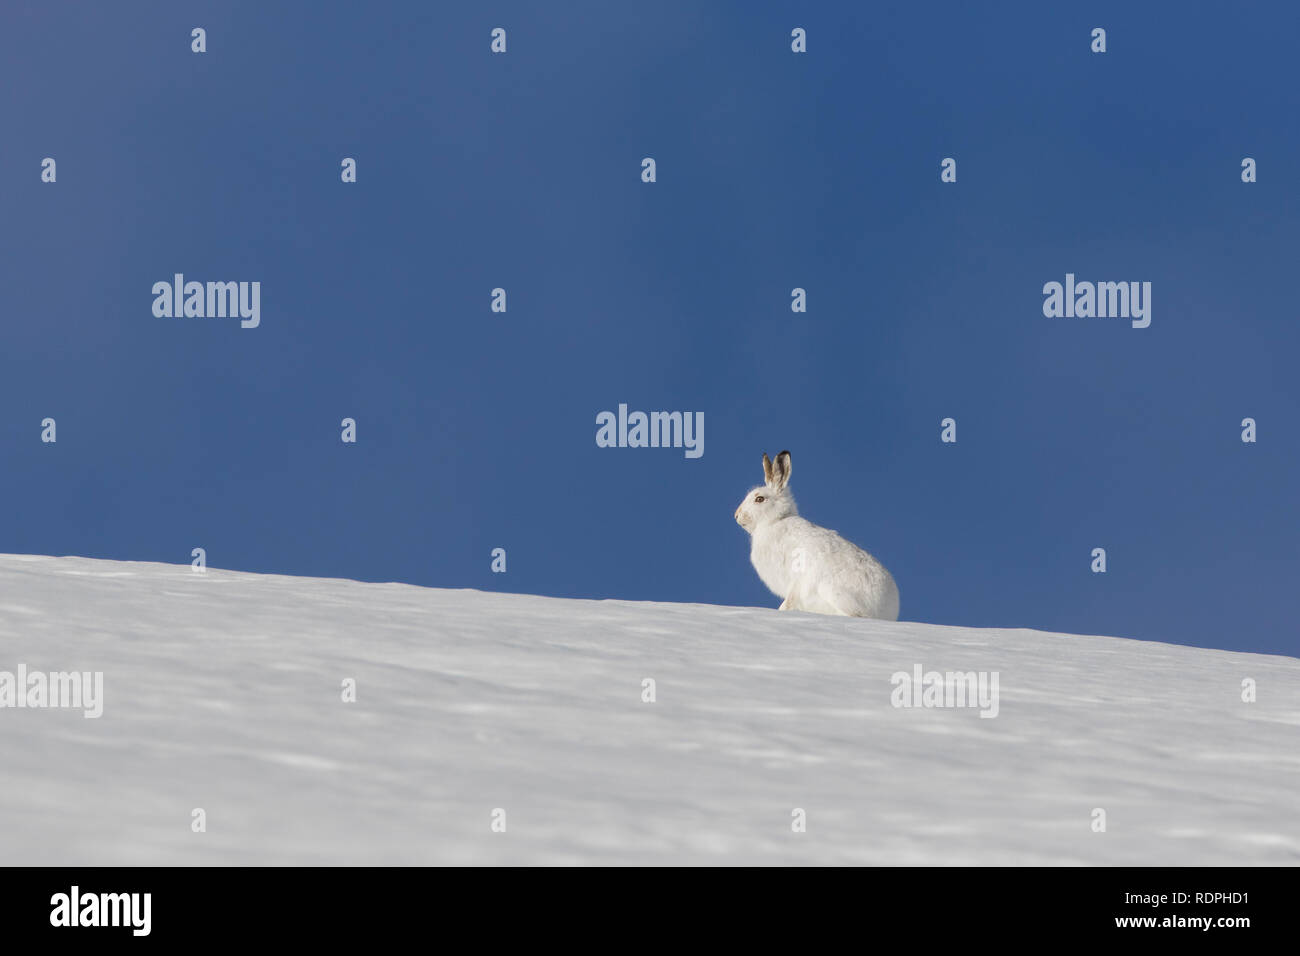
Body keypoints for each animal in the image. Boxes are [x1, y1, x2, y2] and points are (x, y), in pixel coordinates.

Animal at [734, 450, 900, 620]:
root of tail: (888, 611)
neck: (775, 521)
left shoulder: (797, 580)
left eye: (759, 499)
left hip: (833, 591)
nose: (736, 516)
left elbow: (790, 600)